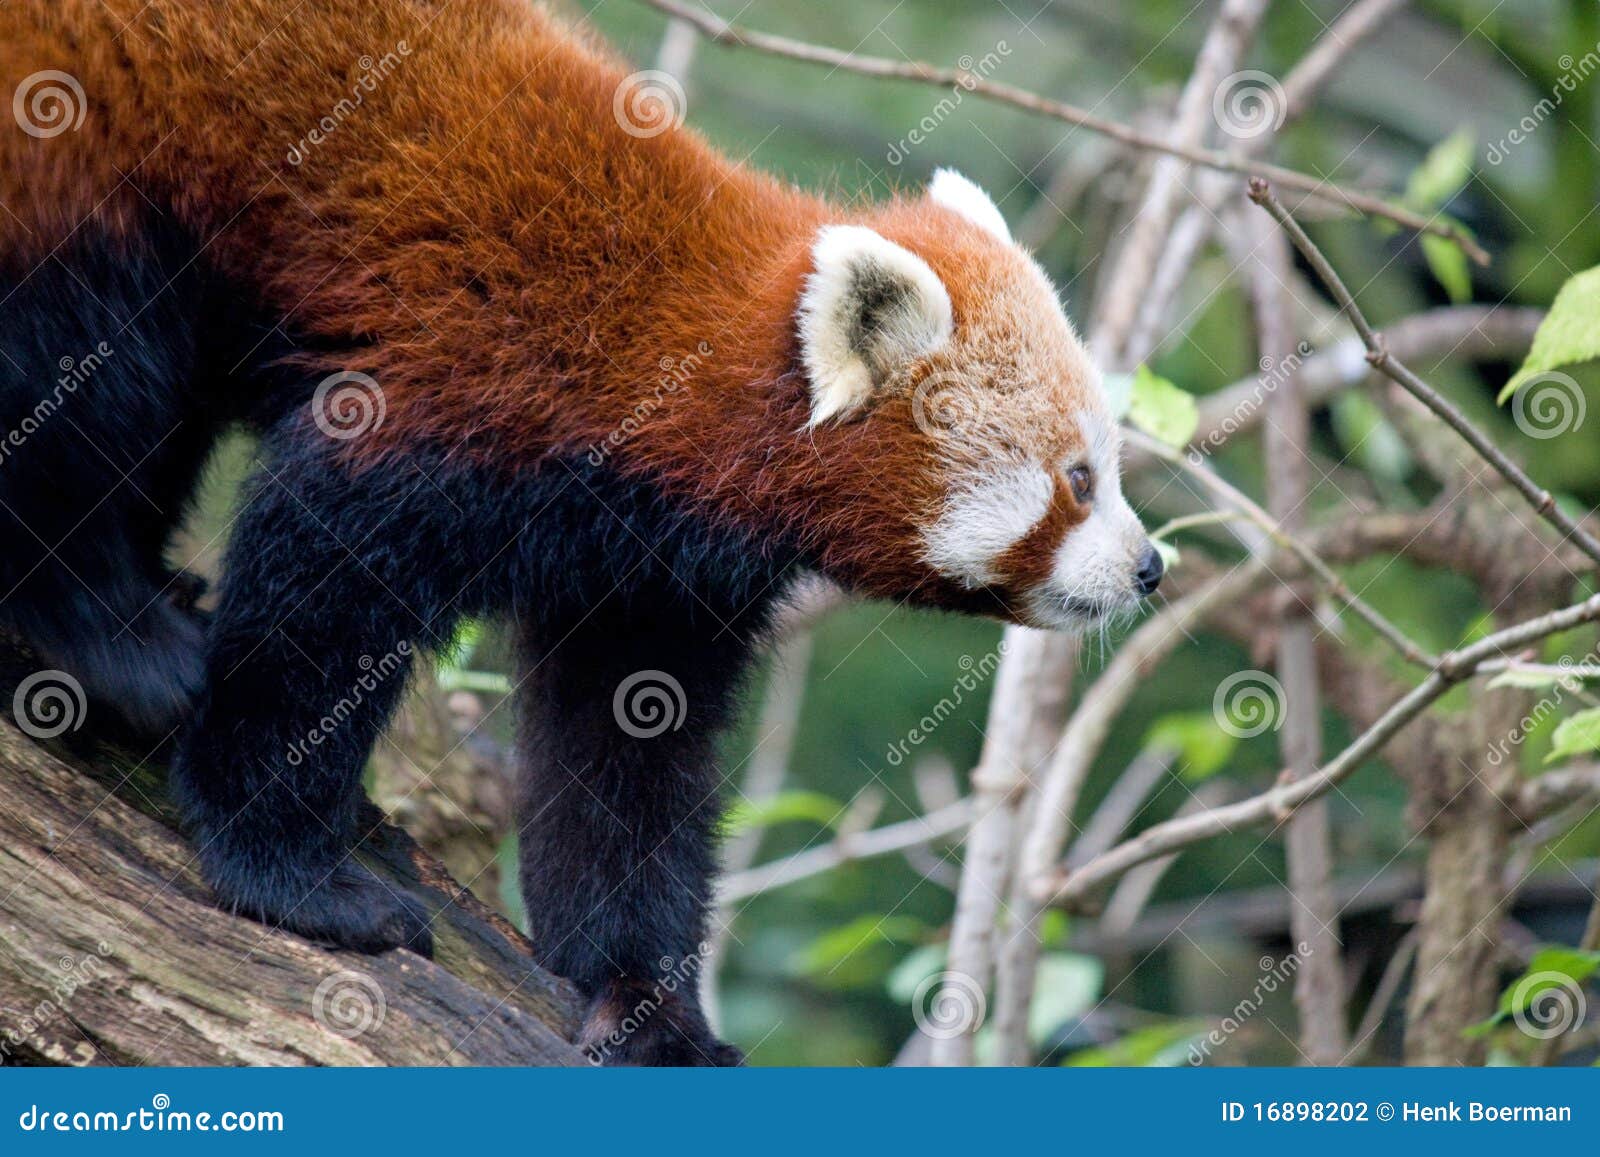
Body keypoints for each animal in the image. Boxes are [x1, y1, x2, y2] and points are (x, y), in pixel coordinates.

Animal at [0, 0, 1160, 1064]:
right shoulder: (458, 396)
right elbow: (314, 599)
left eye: (1108, 468)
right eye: (1077, 479)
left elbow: (624, 759)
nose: (1152, 566)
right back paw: (119, 640)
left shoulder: (650, 569)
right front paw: (291, 875)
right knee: (83, 371)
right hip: (78, 152)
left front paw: (647, 1005)